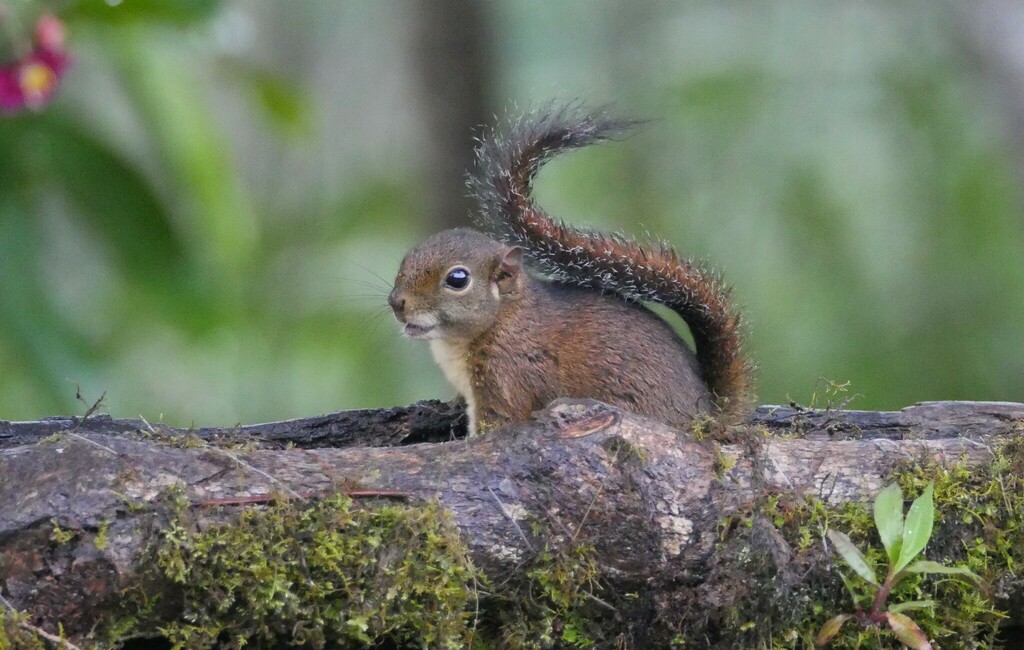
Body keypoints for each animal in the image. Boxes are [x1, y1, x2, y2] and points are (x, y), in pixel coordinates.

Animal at [388, 105, 751, 436]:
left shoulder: (509, 375)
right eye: (406, 260)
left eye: (457, 279)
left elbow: (497, 427)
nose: (396, 303)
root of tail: (708, 416)